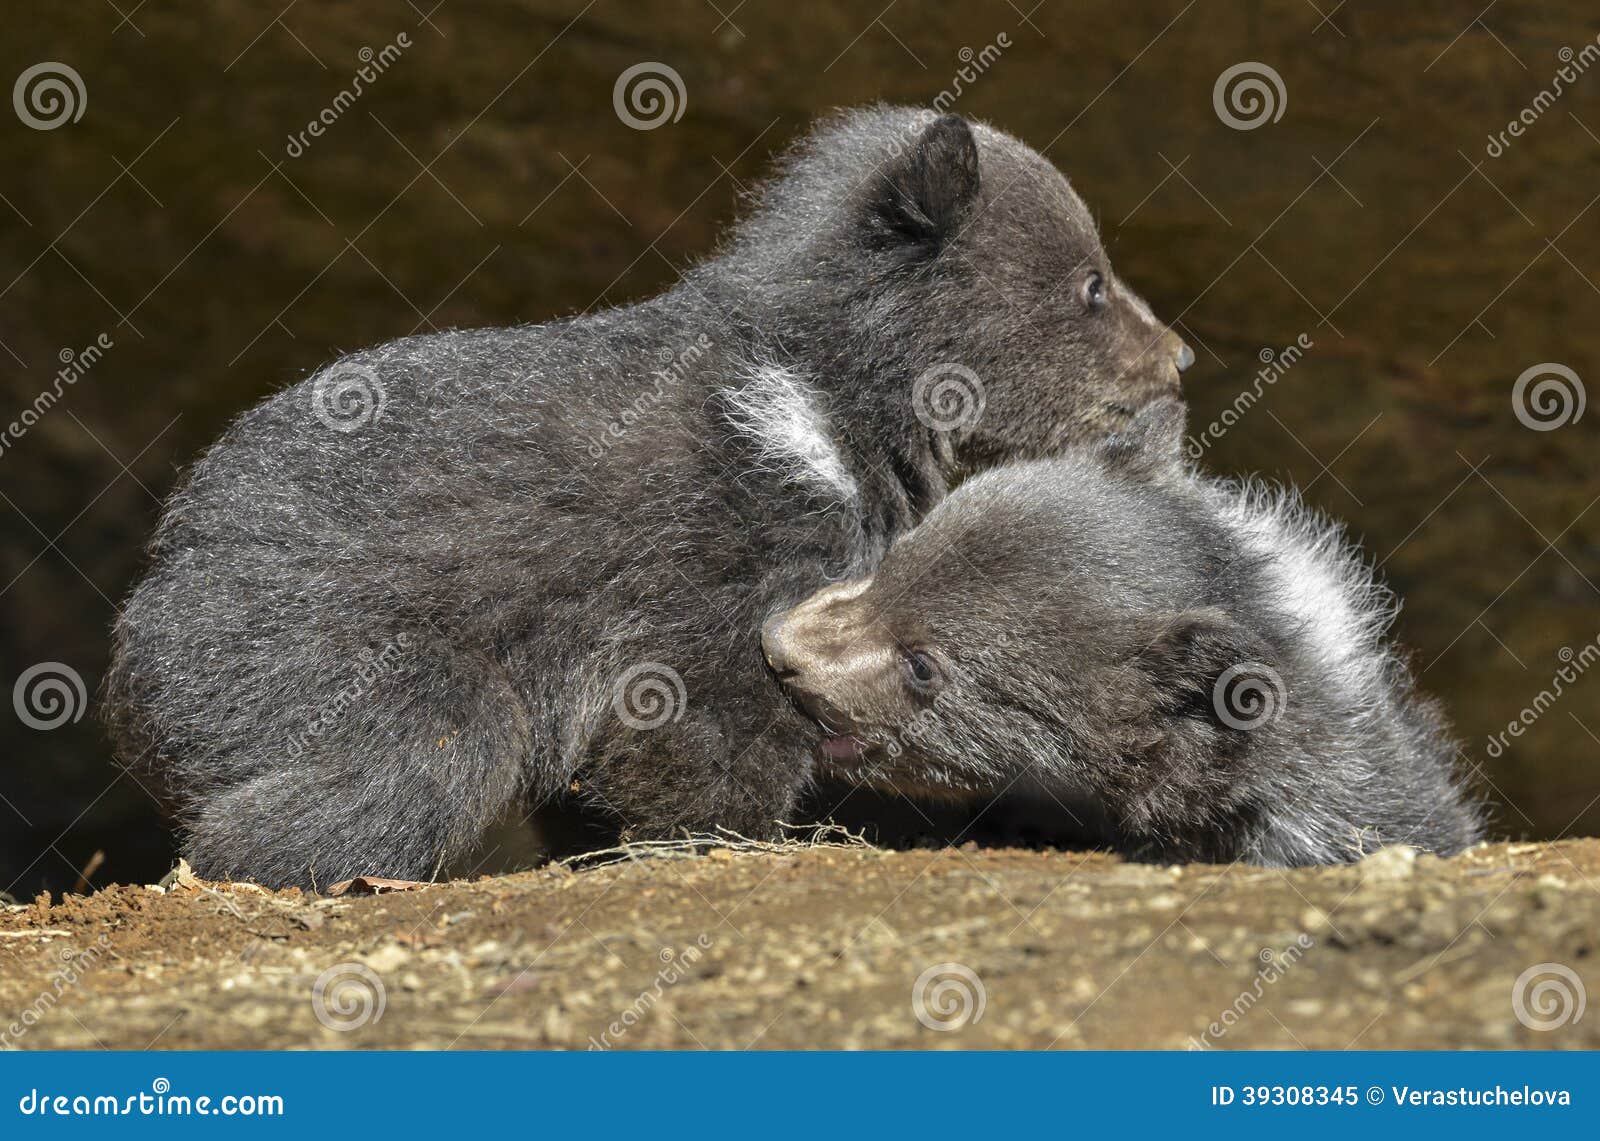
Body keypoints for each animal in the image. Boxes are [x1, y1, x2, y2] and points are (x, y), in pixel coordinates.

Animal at [104, 106, 1194, 887]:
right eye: (1093, 283)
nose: (1180, 352)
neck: (839, 406)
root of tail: (137, 627)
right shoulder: (735, 523)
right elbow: (703, 697)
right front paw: (728, 834)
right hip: (308, 640)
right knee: (420, 744)